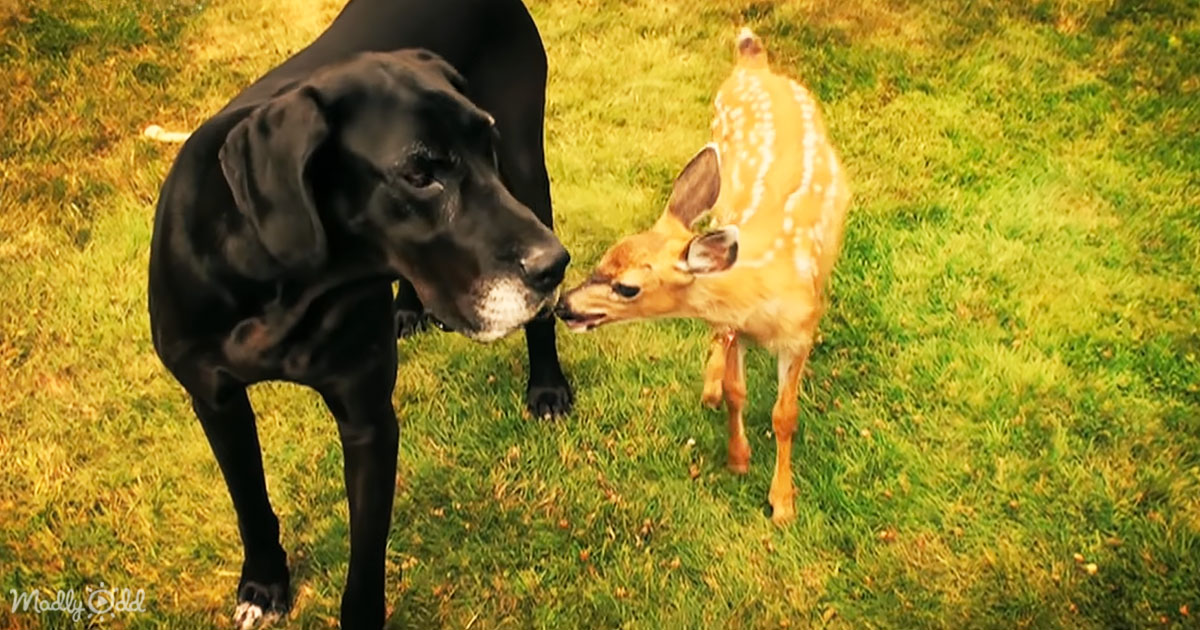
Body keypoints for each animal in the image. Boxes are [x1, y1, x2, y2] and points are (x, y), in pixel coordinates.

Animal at [556, 28, 851, 524]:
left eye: (627, 287)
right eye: (605, 256)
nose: (563, 306)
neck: (761, 293)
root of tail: (754, 64)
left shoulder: (799, 334)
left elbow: (784, 415)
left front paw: (782, 503)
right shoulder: (734, 324)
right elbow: (736, 391)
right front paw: (738, 457)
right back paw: (709, 385)